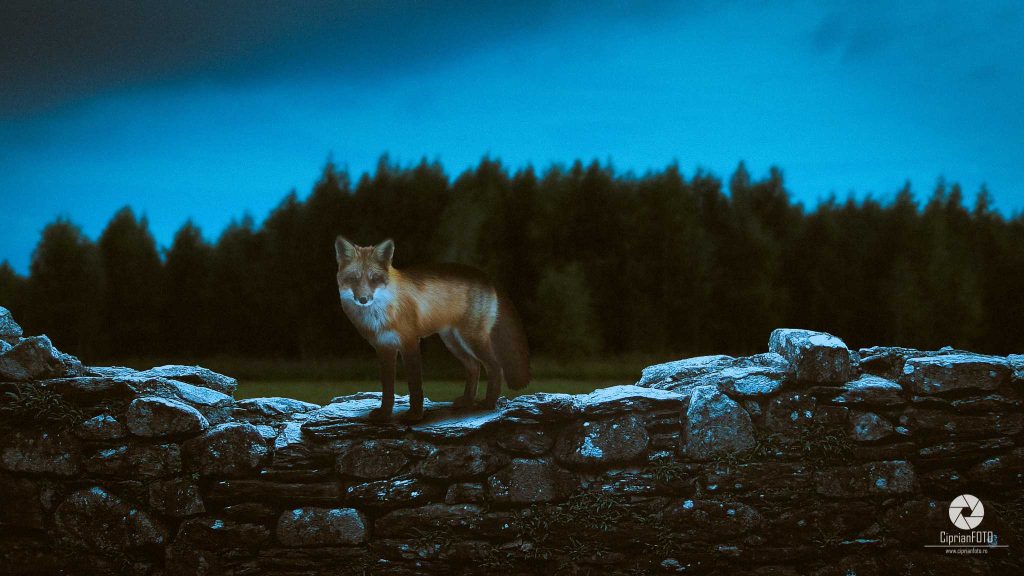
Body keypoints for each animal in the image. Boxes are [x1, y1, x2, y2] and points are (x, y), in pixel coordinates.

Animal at [334, 236, 530, 422]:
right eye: (354, 278)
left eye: (374, 279)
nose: (363, 299)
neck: (382, 312)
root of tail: (485, 276)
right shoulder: (384, 348)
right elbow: (388, 389)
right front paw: (384, 415)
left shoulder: (410, 343)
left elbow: (415, 386)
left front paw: (414, 416)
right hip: (453, 342)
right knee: (475, 367)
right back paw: (467, 401)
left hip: (472, 340)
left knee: (496, 367)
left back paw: (489, 403)